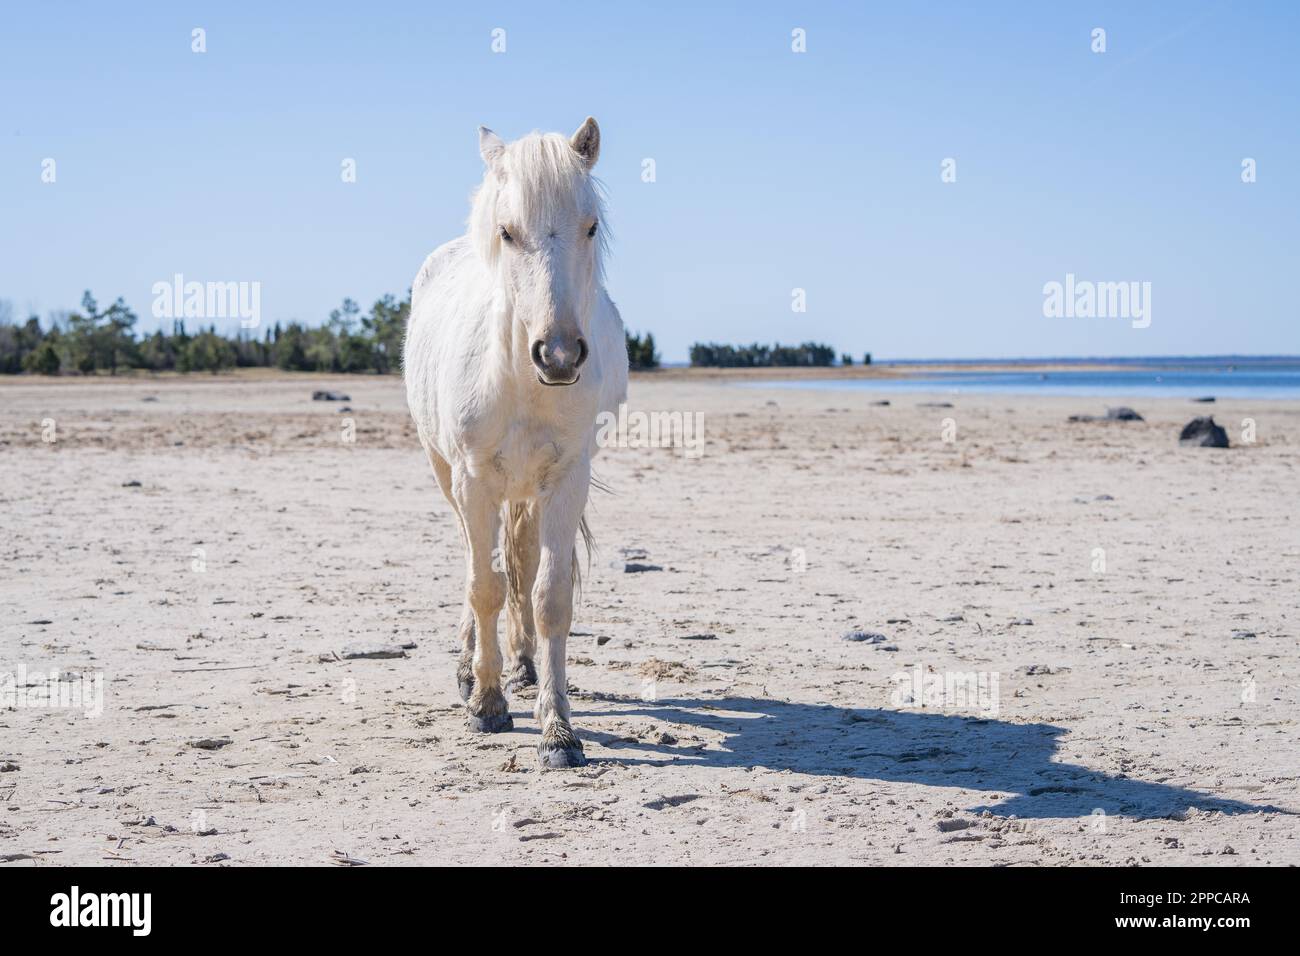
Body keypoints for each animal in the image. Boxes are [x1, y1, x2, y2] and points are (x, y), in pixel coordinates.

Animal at [403, 118, 628, 769]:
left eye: (591, 226)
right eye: (507, 231)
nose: (559, 356)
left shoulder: (566, 480)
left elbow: (549, 594)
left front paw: (558, 730)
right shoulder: (473, 479)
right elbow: (484, 585)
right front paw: (486, 704)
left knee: (522, 565)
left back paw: (524, 663)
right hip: (448, 475)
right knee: (478, 563)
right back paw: (470, 669)